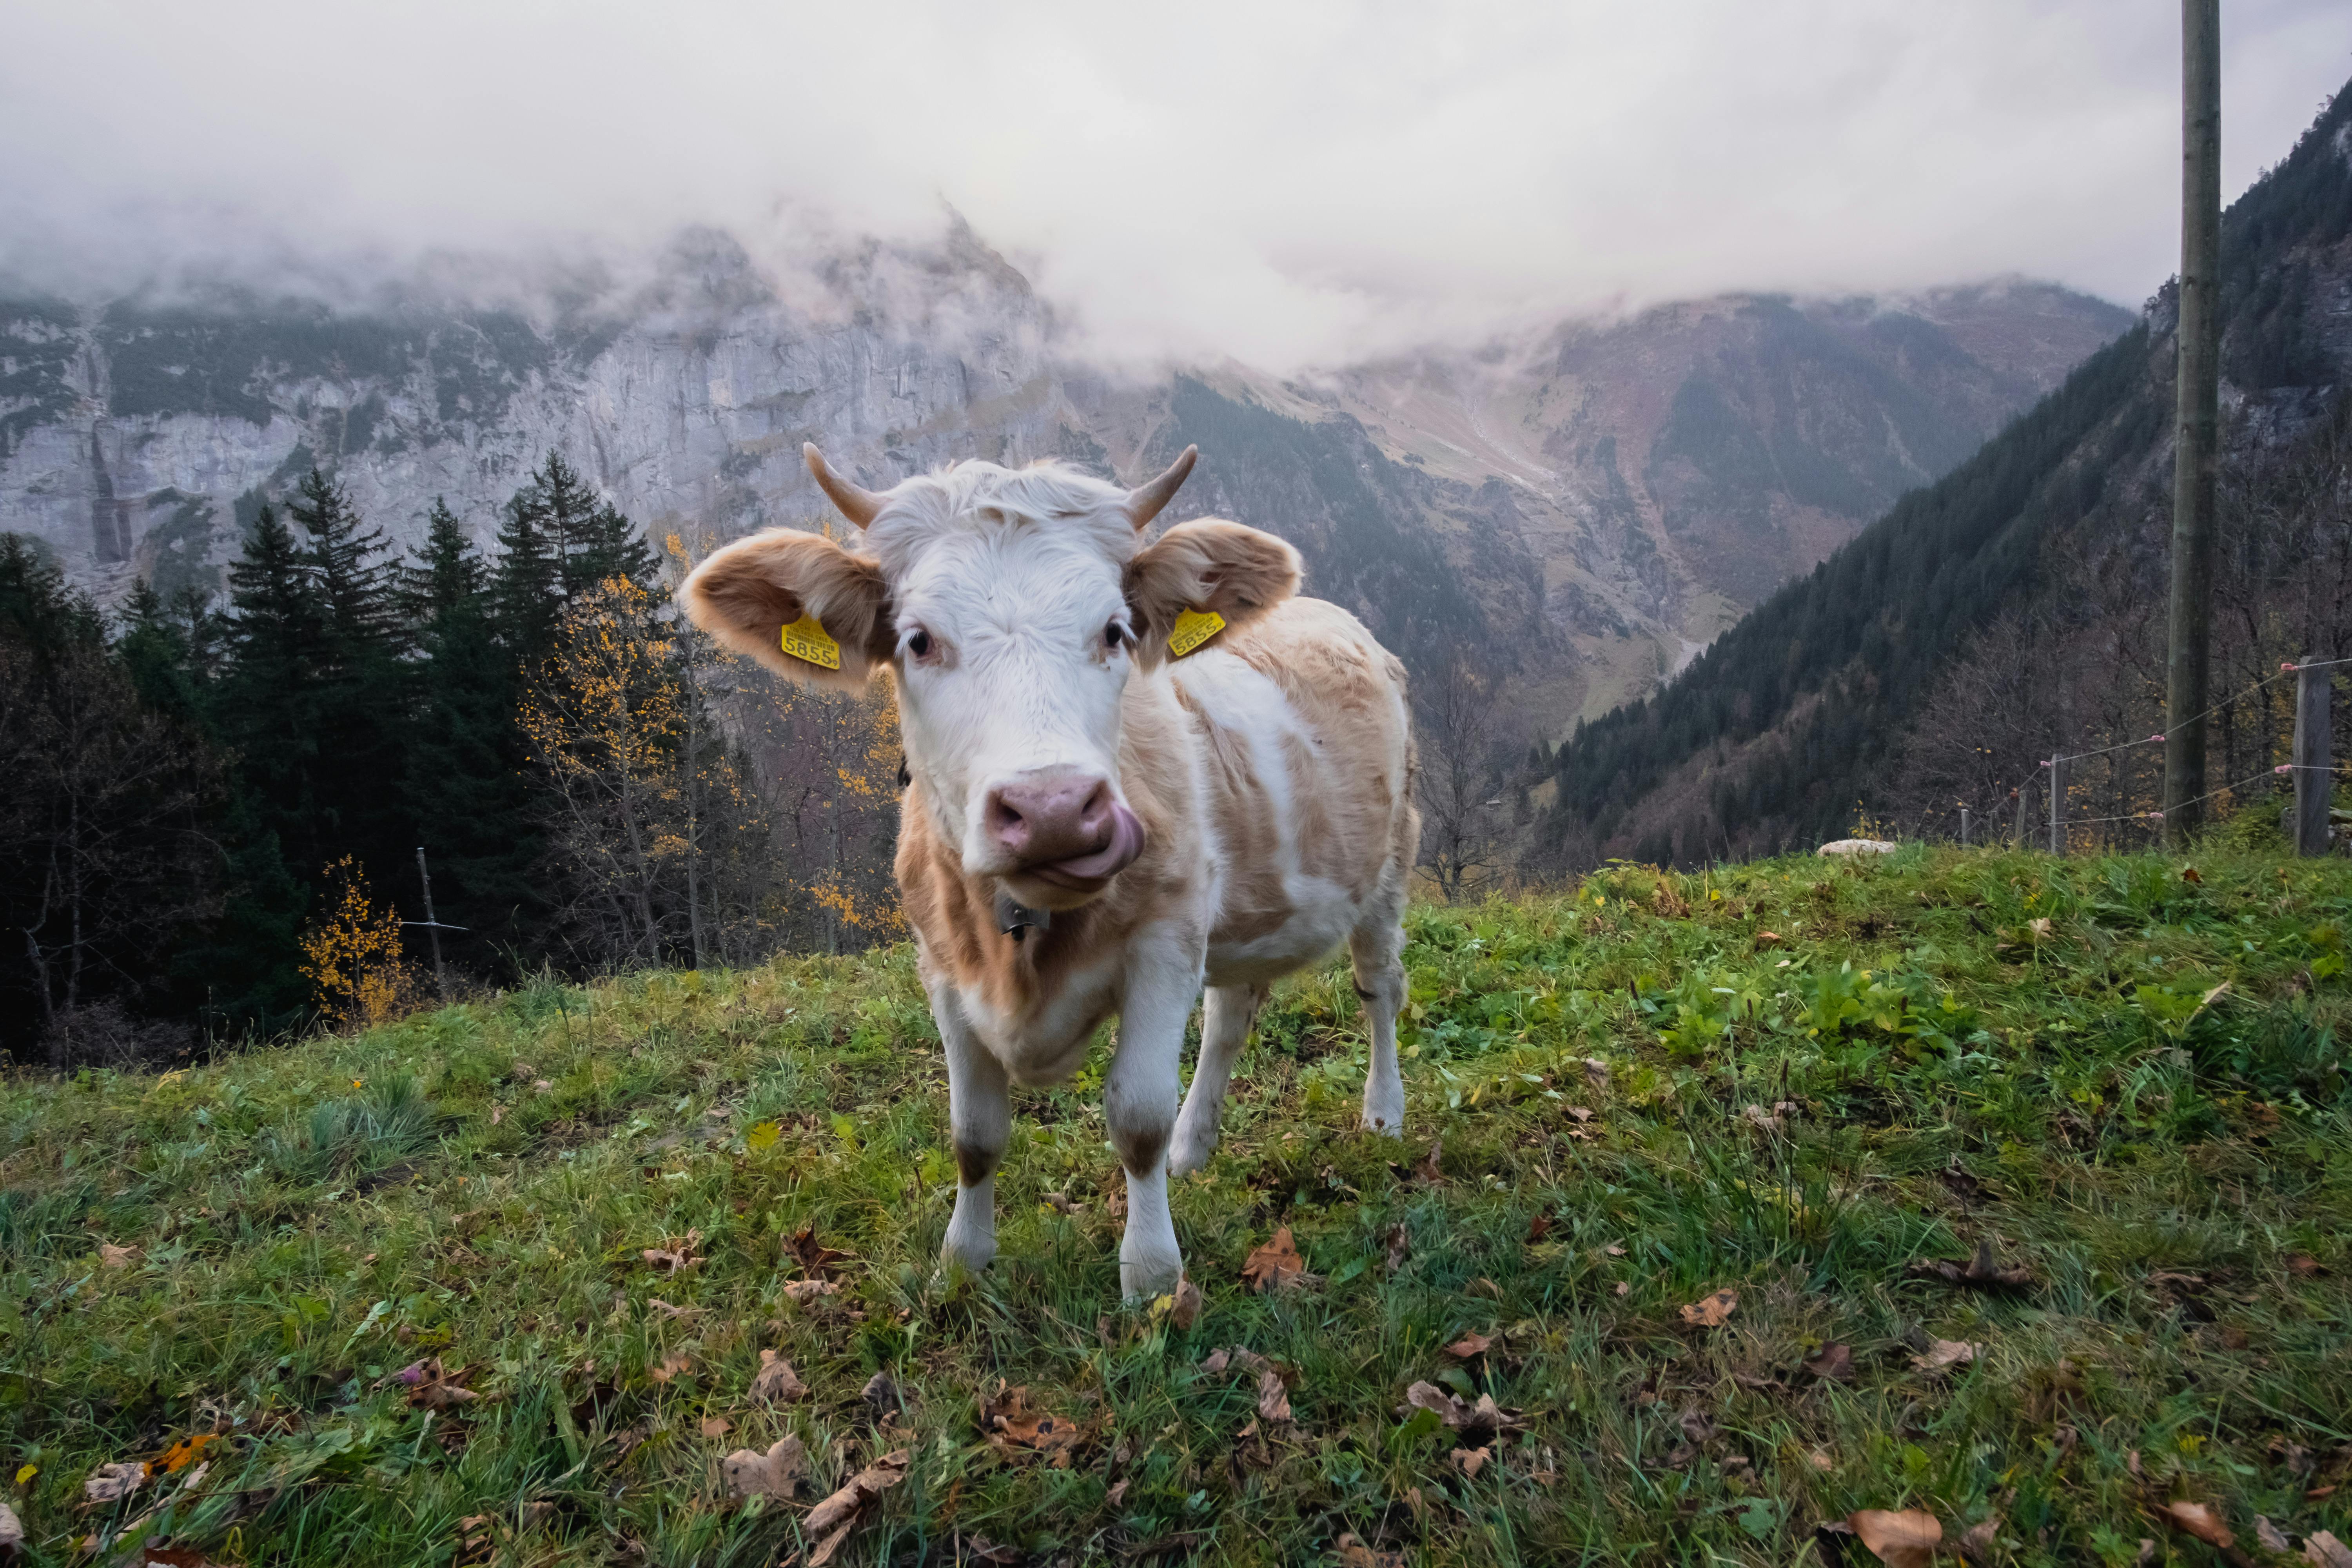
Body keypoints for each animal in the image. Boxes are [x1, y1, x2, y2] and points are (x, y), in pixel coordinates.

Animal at [680, 445, 1418, 1299]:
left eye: (1116, 630)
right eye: (918, 640)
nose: (1056, 808)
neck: (1021, 940)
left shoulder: (1165, 941)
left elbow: (1136, 1117)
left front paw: (1152, 1277)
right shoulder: (943, 966)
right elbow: (974, 1133)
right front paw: (963, 1264)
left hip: (1390, 864)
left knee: (1378, 989)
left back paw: (1383, 1113)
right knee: (1232, 1016)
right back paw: (1194, 1149)